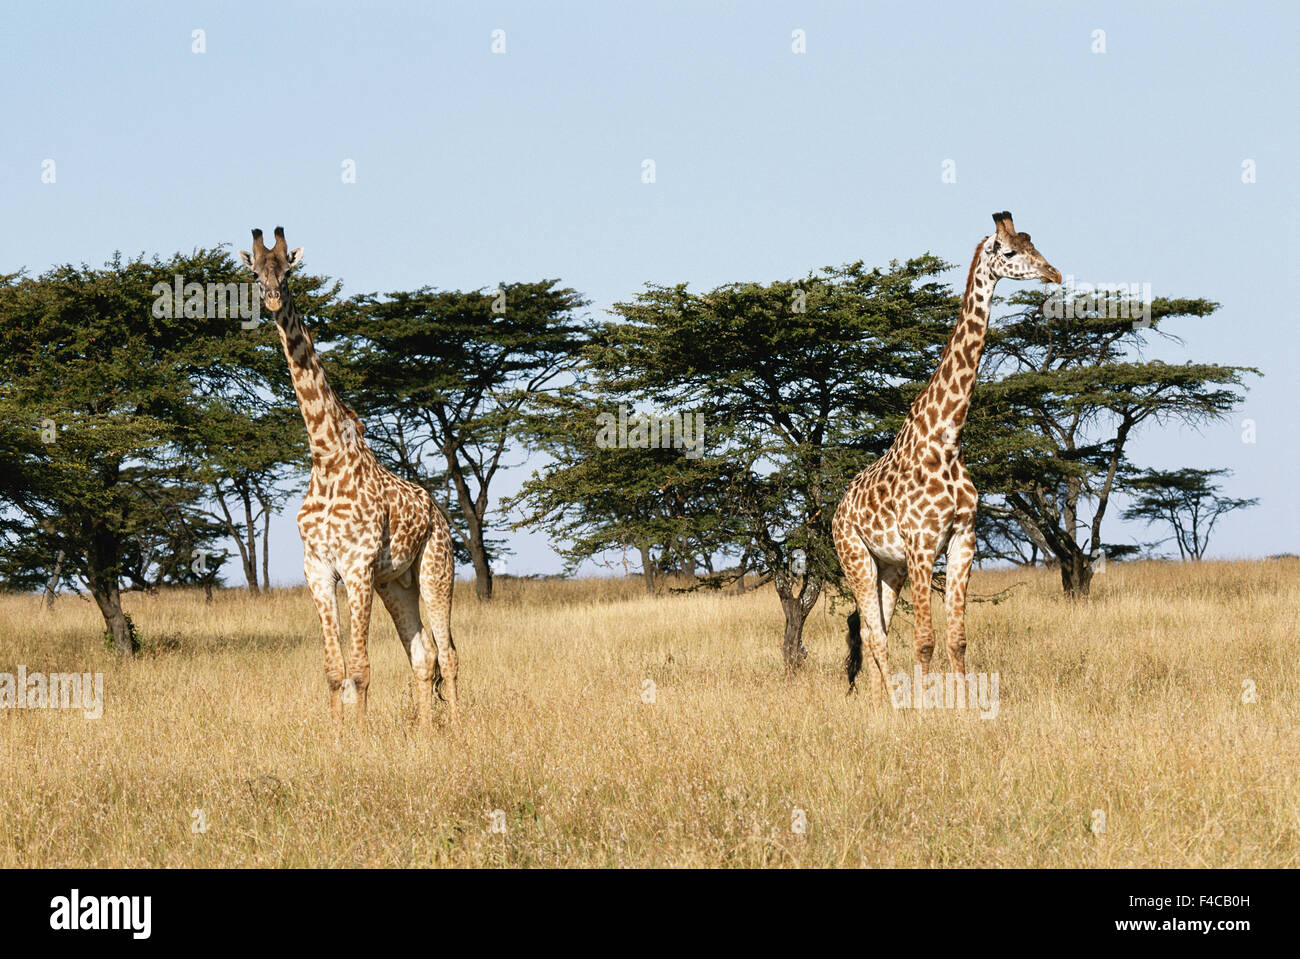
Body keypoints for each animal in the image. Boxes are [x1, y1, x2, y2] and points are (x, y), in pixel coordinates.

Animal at [238, 227, 458, 729]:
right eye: (255, 273)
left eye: (289, 270)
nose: (274, 300)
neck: (326, 457)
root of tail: (438, 512)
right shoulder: (318, 569)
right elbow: (335, 672)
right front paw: (339, 739)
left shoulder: (356, 567)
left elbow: (360, 669)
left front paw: (359, 740)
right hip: (396, 583)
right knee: (423, 655)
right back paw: (424, 732)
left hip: (435, 570)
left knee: (450, 652)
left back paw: (460, 726)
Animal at [832, 212, 1060, 705]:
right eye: (1009, 251)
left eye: (1033, 243)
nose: (1054, 274)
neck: (948, 439)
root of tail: (837, 510)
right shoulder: (921, 543)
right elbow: (924, 639)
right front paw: (923, 709)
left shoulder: (963, 539)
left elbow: (957, 638)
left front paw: (963, 707)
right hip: (855, 556)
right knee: (876, 635)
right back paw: (893, 705)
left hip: (889, 567)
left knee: (873, 631)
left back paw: (880, 702)